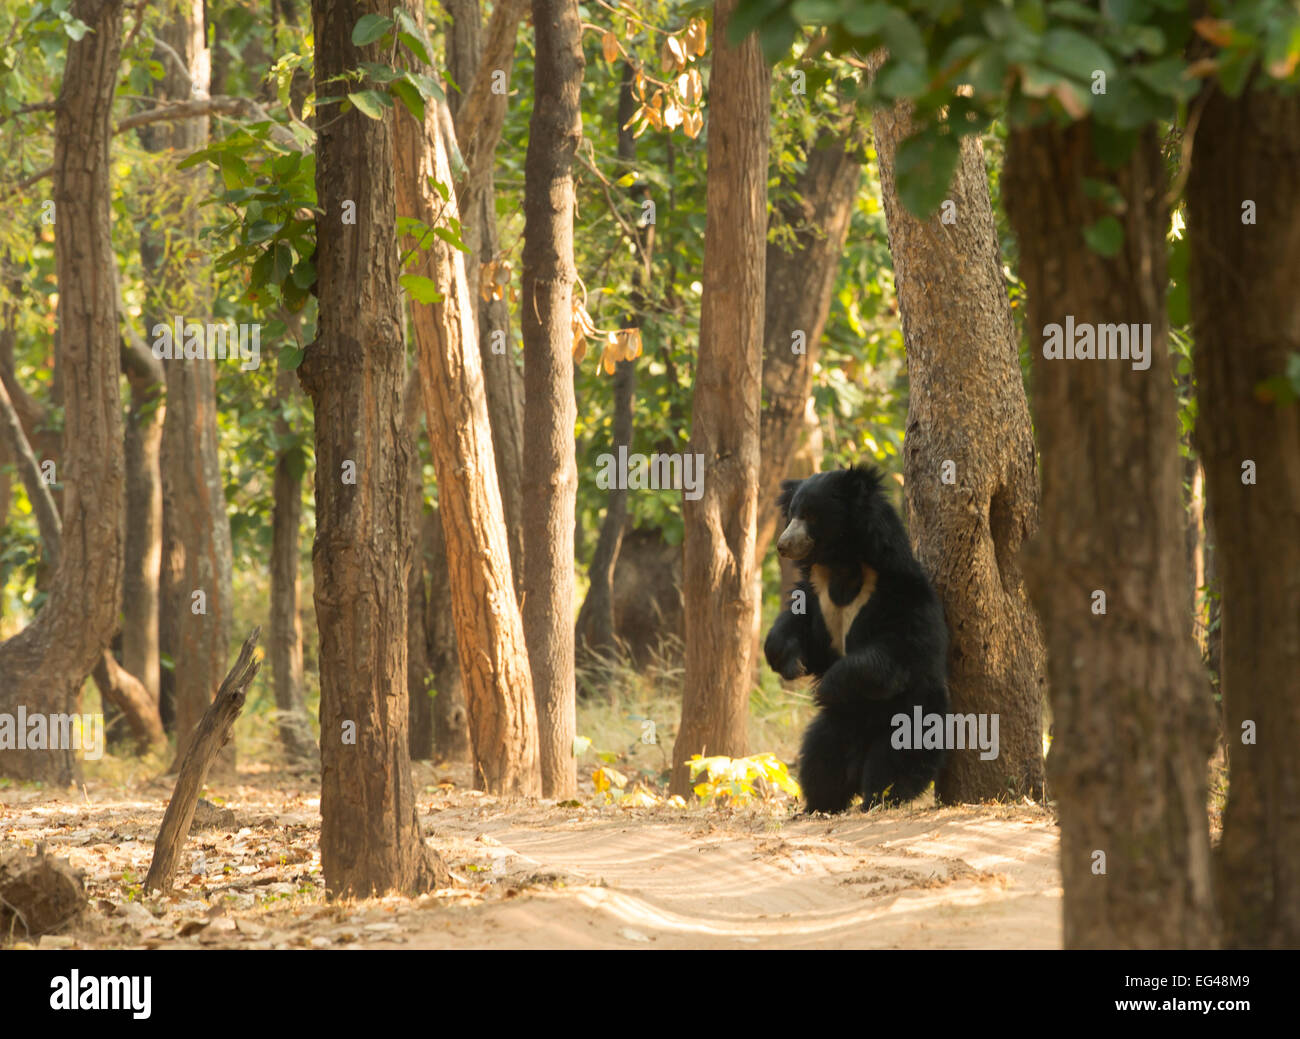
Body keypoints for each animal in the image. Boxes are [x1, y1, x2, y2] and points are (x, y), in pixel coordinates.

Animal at [763, 465, 950, 813]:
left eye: (810, 514)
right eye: (792, 513)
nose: (782, 545)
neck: (842, 562)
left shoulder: (895, 592)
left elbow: (893, 651)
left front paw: (828, 684)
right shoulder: (817, 596)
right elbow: (802, 631)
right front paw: (788, 661)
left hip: (912, 714)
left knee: (894, 761)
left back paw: (876, 799)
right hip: (836, 724)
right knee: (820, 760)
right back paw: (820, 803)